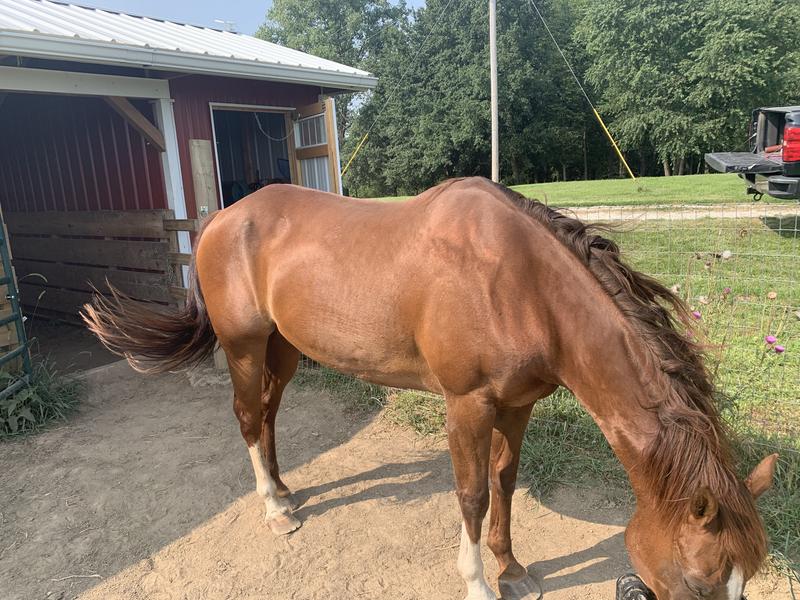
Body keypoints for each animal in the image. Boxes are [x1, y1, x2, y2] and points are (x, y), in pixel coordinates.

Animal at [83, 177, 777, 600]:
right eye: (700, 580)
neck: (518, 282)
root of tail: (221, 219)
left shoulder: (517, 405)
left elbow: (504, 481)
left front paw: (512, 569)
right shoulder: (467, 405)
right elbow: (470, 494)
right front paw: (477, 581)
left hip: (284, 350)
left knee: (271, 415)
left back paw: (285, 490)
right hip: (245, 348)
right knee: (248, 417)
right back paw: (275, 511)